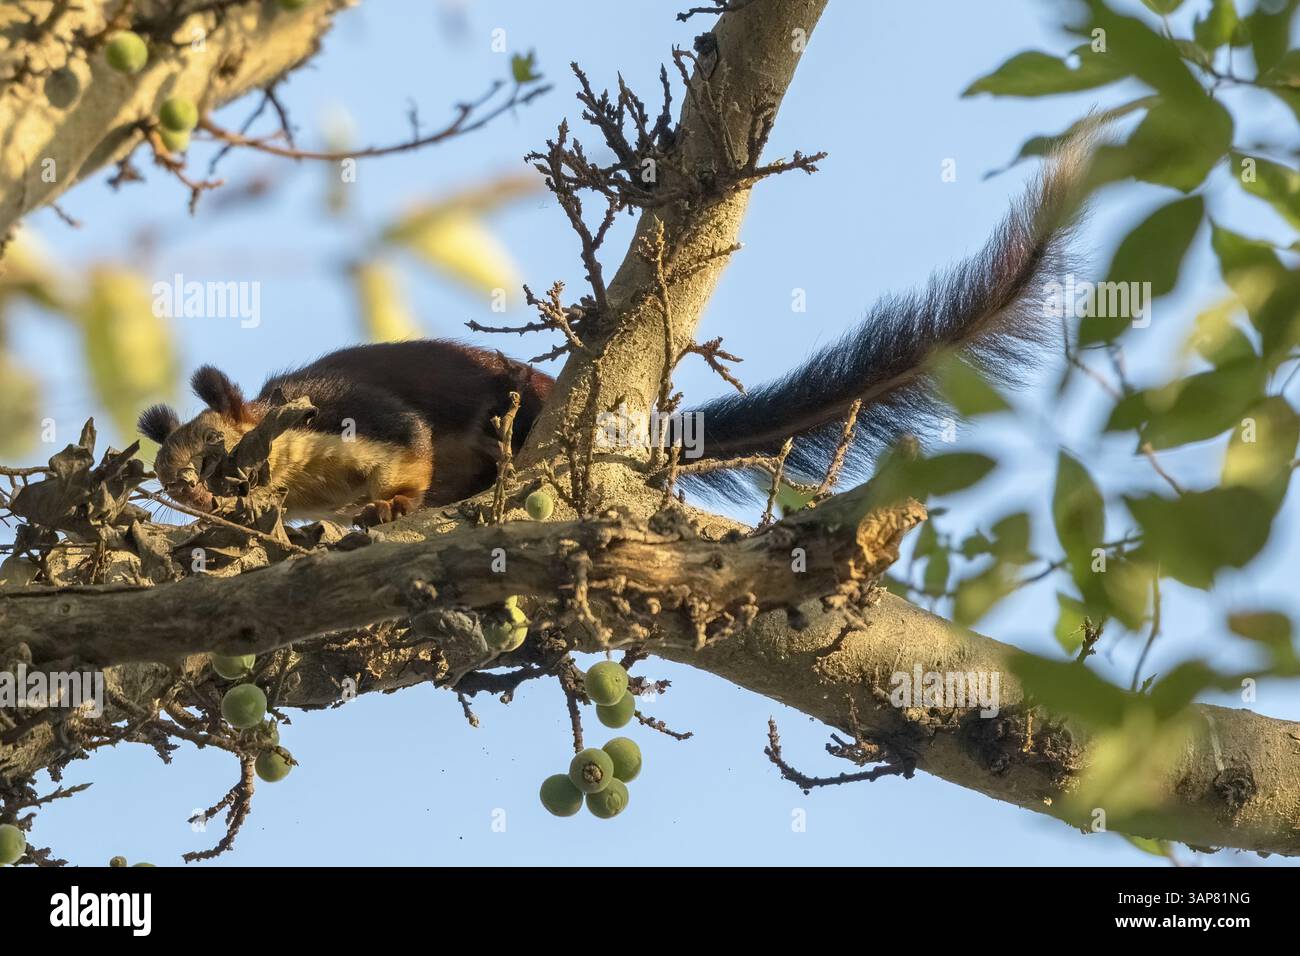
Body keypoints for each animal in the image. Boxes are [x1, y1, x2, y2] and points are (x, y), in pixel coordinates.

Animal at [139, 145, 1084, 526]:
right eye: (174, 482)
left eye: (224, 457)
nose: (205, 501)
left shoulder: (356, 413)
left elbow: (405, 448)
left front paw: (392, 502)